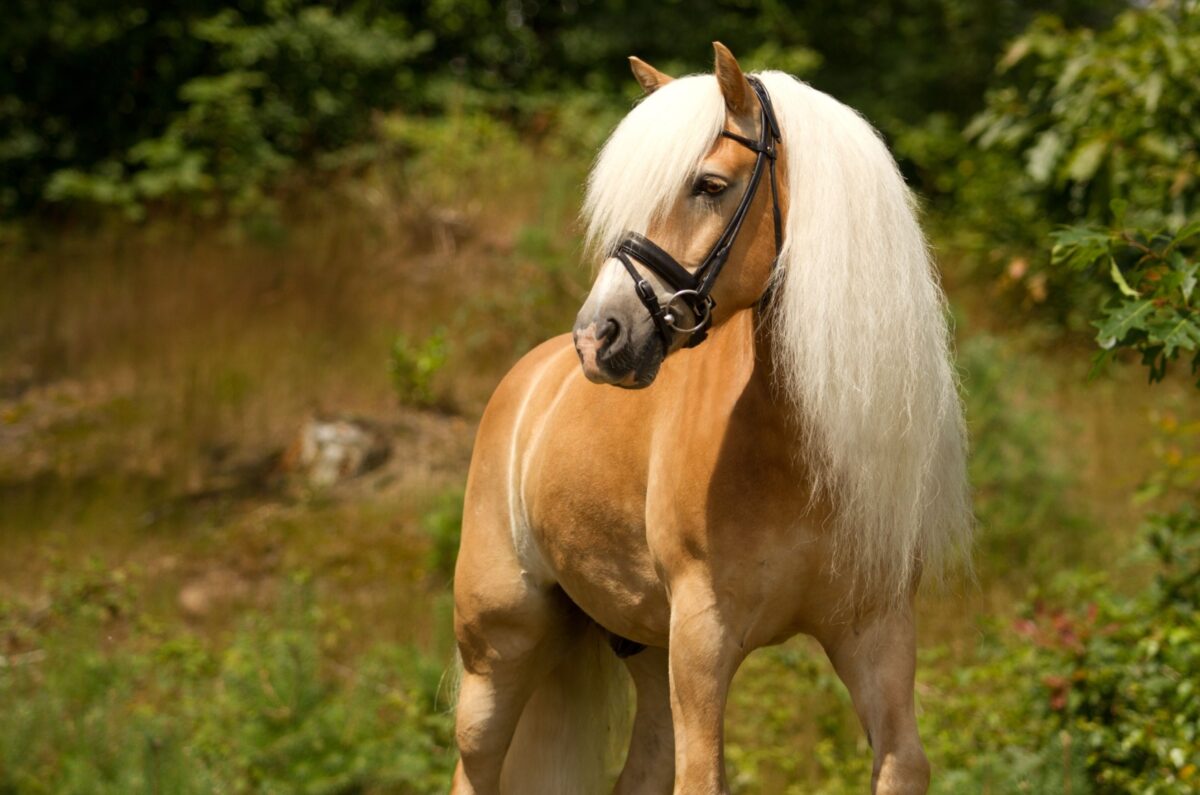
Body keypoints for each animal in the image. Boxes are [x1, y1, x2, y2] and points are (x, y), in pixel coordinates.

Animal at [450, 43, 971, 795]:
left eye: (709, 184)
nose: (598, 337)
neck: (796, 453)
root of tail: (530, 379)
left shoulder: (878, 633)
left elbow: (901, 761)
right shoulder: (703, 637)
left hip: (644, 649)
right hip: (497, 648)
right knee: (475, 762)